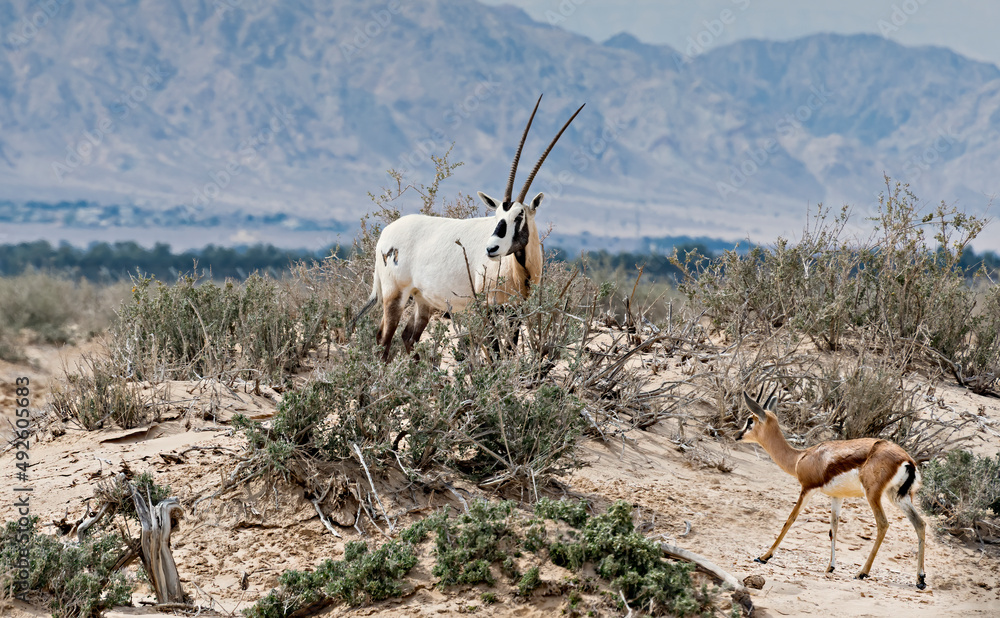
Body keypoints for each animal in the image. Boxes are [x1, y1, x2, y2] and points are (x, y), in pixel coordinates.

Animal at [354, 95, 584, 360]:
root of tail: (385, 235)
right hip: (395, 296)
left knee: (408, 336)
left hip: (423, 300)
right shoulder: (488, 308)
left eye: (519, 215)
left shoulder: (517, 311)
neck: (520, 270)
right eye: (497, 214)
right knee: (384, 339)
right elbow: (496, 352)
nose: (491, 249)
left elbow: (510, 349)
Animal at [736, 390, 926, 589]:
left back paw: (862, 572)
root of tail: (907, 460)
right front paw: (830, 567)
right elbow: (833, 528)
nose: (737, 435)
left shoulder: (807, 489)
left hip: (873, 495)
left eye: (750, 420)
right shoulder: (837, 496)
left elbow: (790, 520)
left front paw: (764, 556)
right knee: (920, 523)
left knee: (883, 524)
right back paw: (920, 579)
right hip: (898, 497)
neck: (799, 458)